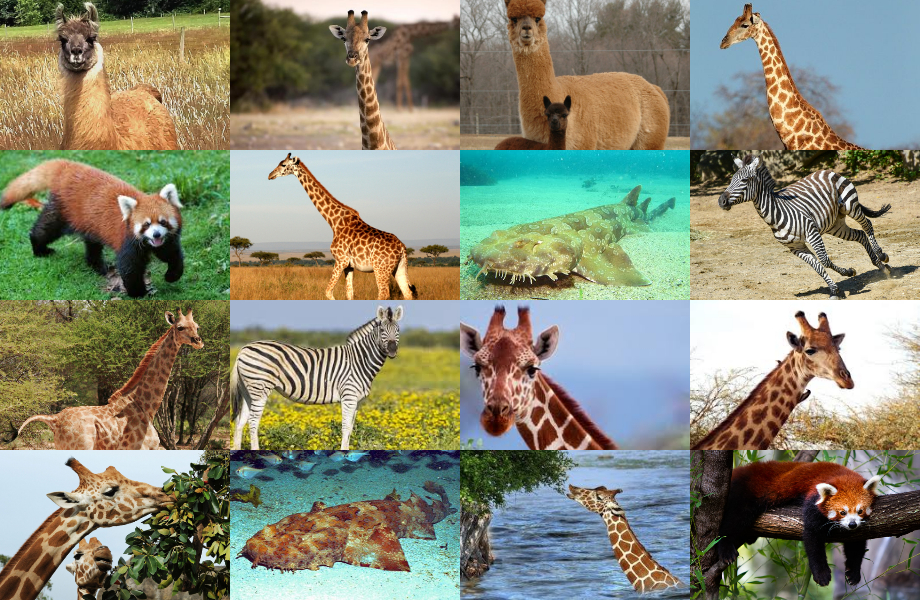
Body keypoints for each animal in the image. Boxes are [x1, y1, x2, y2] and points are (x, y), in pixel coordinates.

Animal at [3, 310, 203, 450]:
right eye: (180, 327)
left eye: (197, 326)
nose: (198, 341)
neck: (146, 407)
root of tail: (55, 419)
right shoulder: (141, 449)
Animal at [268, 153, 417, 301]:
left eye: (283, 164)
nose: (270, 175)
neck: (334, 222)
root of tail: (402, 247)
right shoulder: (349, 266)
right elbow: (349, 294)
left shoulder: (341, 260)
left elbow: (328, 292)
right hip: (399, 268)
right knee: (407, 293)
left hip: (381, 268)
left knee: (383, 293)